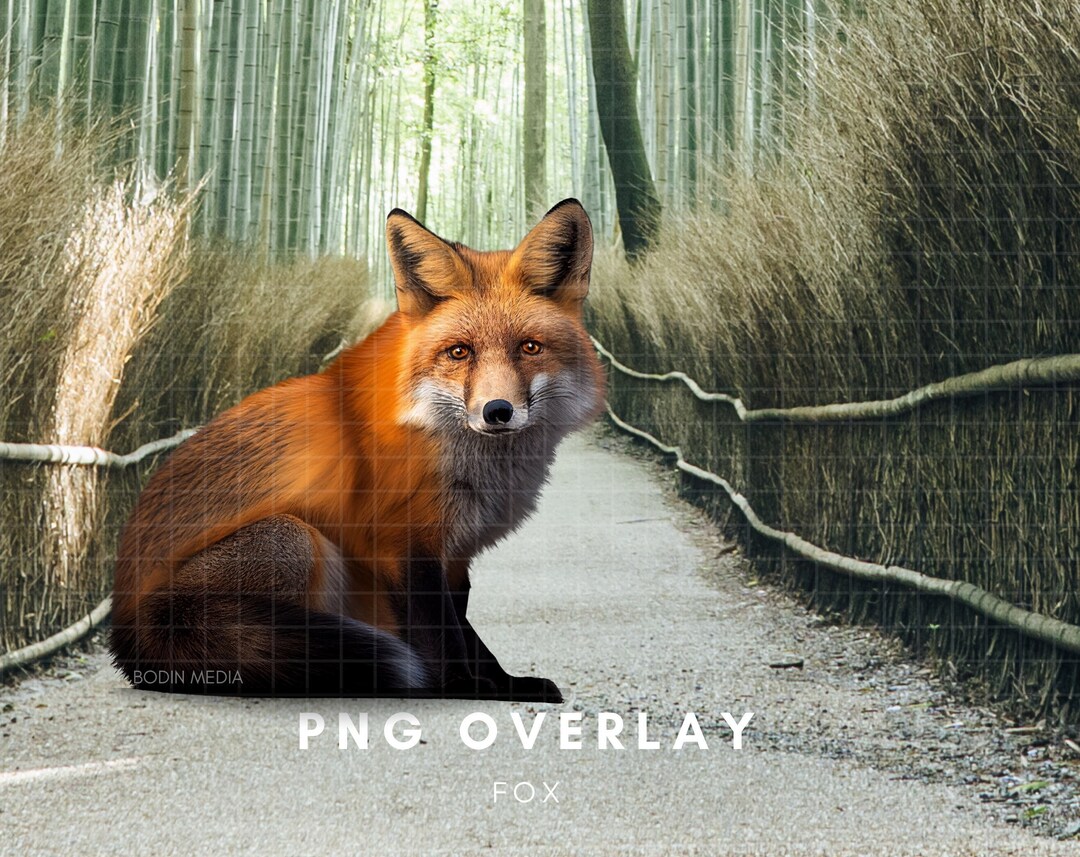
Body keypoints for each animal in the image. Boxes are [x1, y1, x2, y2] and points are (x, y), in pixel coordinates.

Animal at [109, 199, 605, 702]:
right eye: (459, 352)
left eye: (530, 347)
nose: (497, 411)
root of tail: (124, 635)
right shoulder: (401, 543)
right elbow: (445, 637)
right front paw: (465, 689)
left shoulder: (455, 554)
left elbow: (470, 636)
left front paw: (504, 683)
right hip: (293, 539)